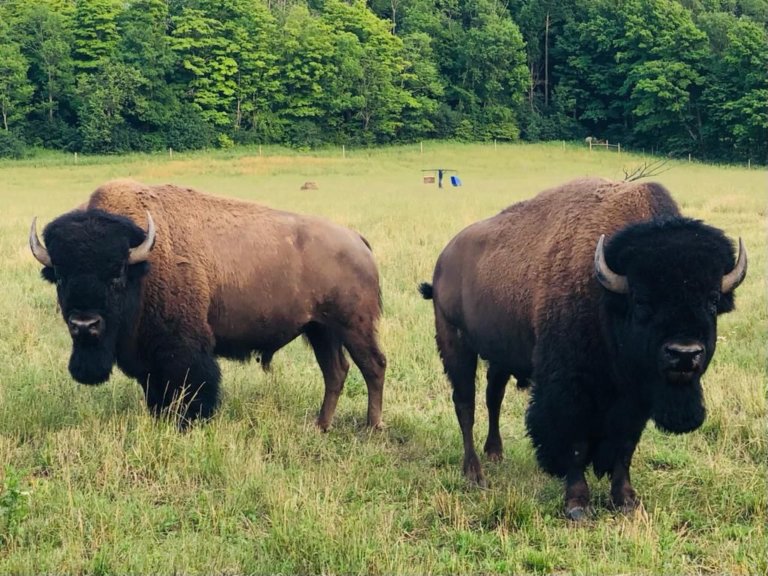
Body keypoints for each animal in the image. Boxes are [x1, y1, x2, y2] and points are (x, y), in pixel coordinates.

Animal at [30, 179, 386, 429]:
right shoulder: (148, 361)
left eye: (116, 274)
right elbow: (156, 395)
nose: (84, 324)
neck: (143, 263)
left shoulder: (184, 351)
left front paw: (190, 424)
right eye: (60, 276)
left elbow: (195, 389)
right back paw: (320, 426)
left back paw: (371, 427)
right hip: (320, 330)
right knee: (336, 372)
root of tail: (357, 240)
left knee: (373, 366)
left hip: (354, 326)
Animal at [419, 178, 747, 519]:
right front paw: (577, 505)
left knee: (492, 398)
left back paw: (494, 453)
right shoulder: (571, 390)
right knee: (465, 404)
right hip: (455, 344)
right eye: (642, 301)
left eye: (712, 300)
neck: (607, 297)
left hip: (499, 355)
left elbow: (625, 445)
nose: (684, 353)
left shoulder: (635, 398)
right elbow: (574, 443)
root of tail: (444, 260)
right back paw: (474, 473)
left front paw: (626, 500)